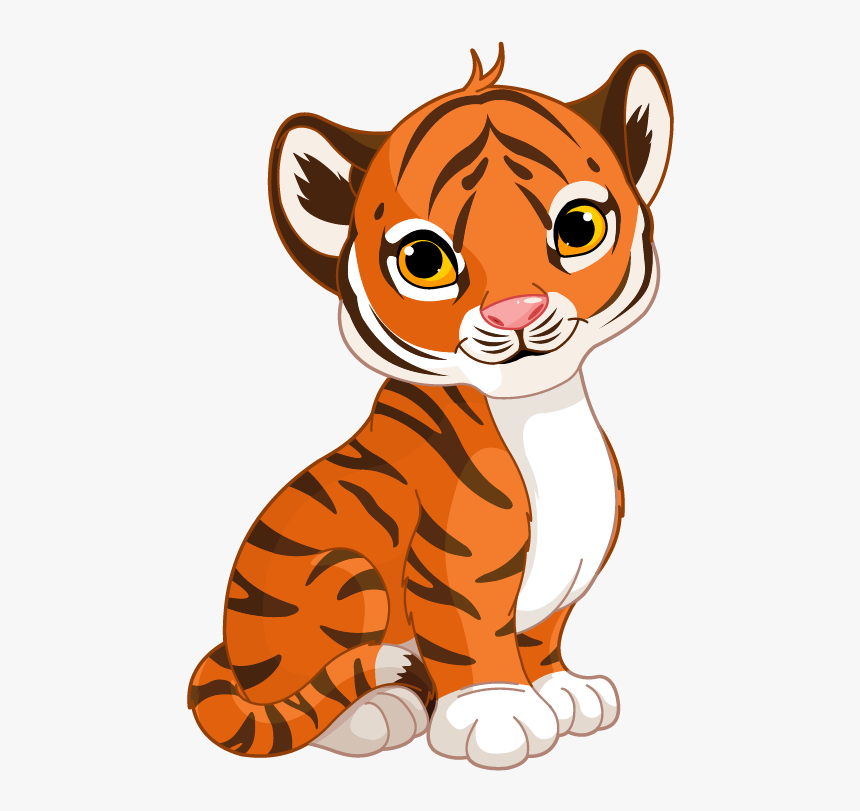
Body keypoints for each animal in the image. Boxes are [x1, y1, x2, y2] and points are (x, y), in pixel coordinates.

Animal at [188, 44, 673, 770]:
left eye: (578, 228)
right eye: (424, 260)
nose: (516, 313)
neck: (539, 413)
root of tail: (230, 650)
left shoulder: (570, 572)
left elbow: (543, 636)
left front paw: (564, 692)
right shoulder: (455, 562)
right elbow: (474, 641)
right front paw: (499, 715)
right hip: (346, 574)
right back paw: (376, 713)